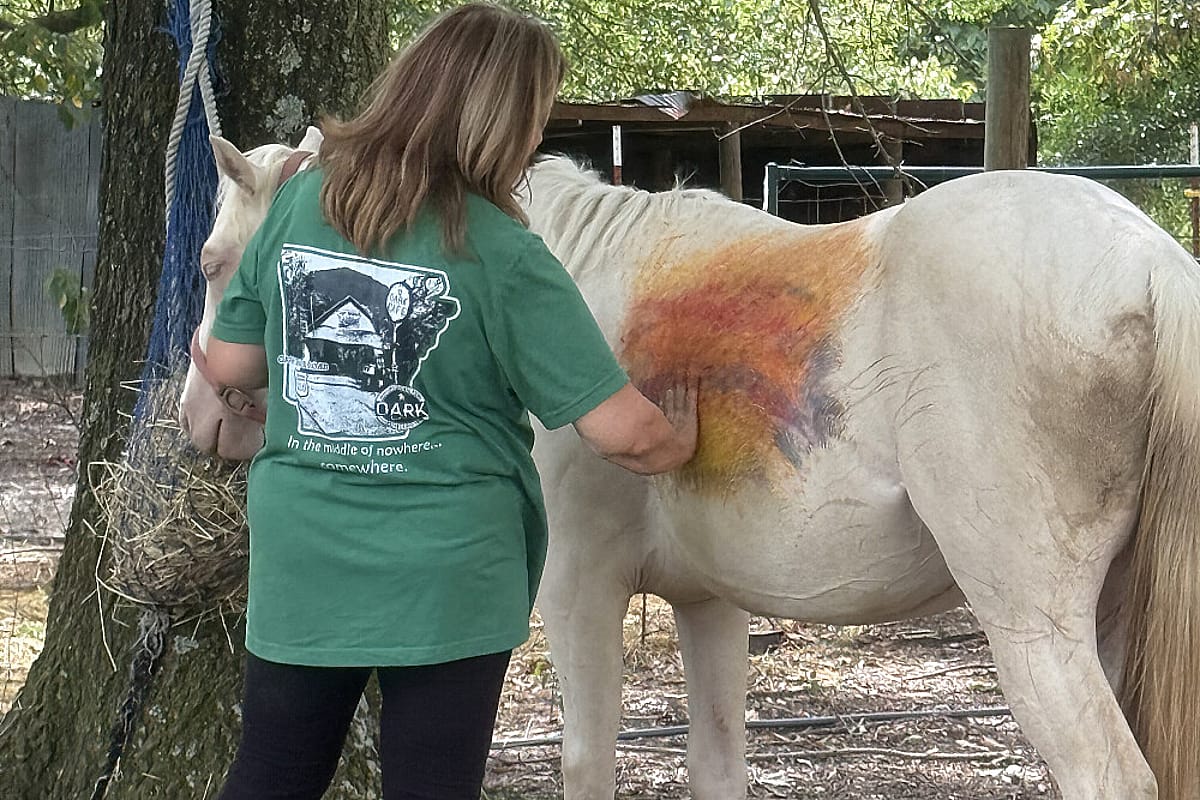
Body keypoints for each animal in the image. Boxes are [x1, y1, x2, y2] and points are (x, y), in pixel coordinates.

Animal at [180, 132, 1200, 800]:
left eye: (213, 261)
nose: (201, 418)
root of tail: (1148, 262)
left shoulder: (578, 592)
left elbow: (588, 759)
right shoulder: (710, 605)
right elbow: (715, 764)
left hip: (1034, 631)